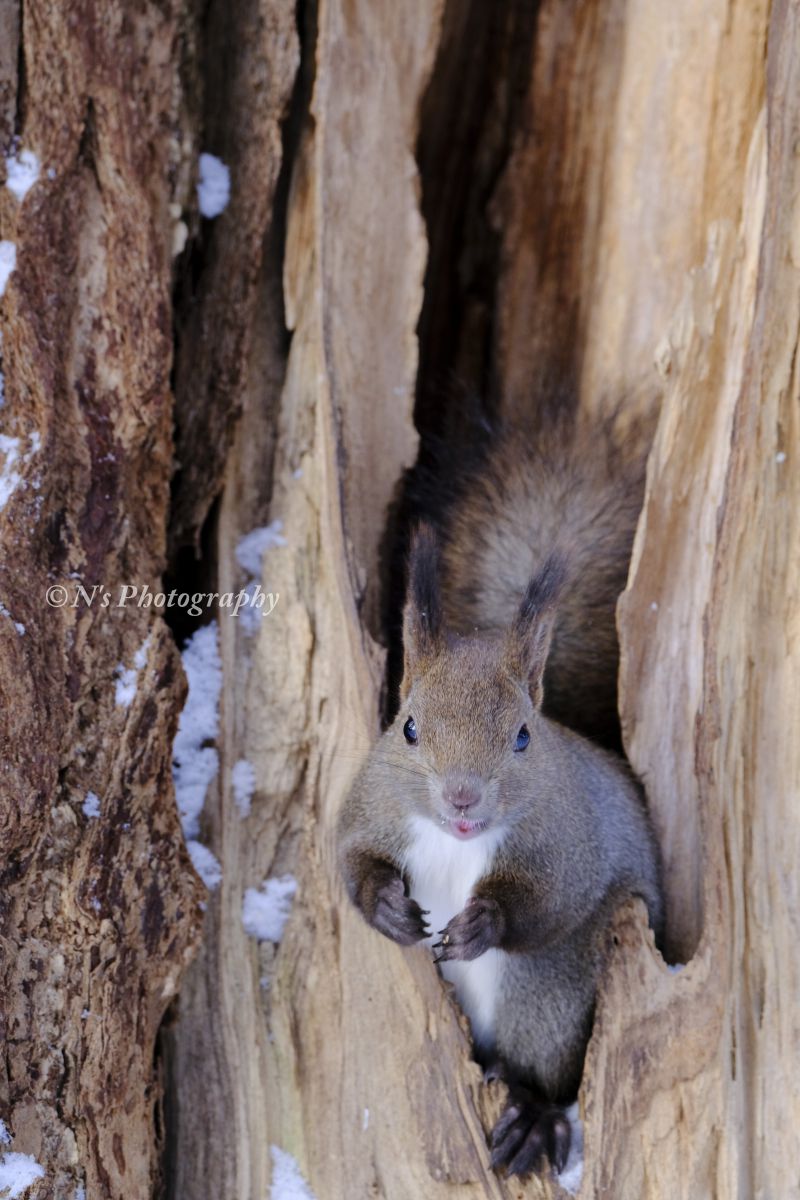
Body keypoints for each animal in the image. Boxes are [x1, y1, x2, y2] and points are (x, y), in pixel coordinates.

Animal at [337, 409, 664, 1179]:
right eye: (408, 726)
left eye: (522, 737)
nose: (461, 799)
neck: (457, 848)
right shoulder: (372, 806)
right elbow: (349, 863)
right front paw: (388, 906)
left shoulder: (572, 839)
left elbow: (550, 902)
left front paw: (482, 923)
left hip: (552, 989)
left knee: (541, 1059)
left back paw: (531, 1116)